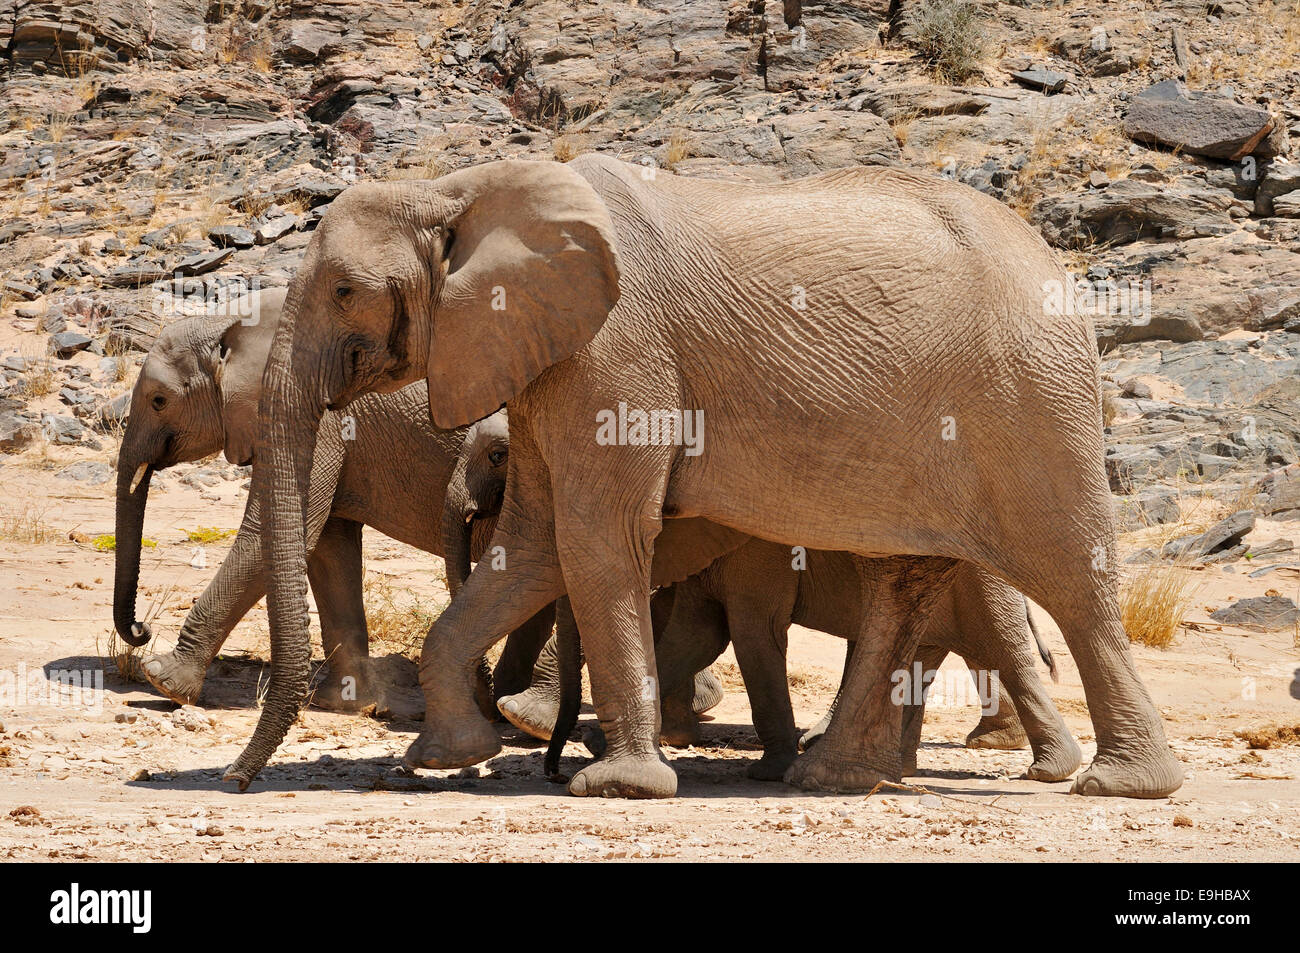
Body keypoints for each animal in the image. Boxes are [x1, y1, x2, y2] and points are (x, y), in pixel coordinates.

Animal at [112, 287, 553, 714]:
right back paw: (508, 707)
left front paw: (162, 680)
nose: (141, 630)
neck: (234, 319)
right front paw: (348, 703)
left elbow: (273, 536)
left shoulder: (316, 418)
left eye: (159, 400)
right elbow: (329, 549)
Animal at [228, 154, 1182, 801]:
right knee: (904, 581)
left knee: (1072, 577)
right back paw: (831, 778)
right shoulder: (557, 357)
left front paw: (617, 788)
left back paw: (1121, 784)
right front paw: (447, 756)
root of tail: (1058, 270)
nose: (239, 778)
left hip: (1030, 400)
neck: (460, 184)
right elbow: (536, 541)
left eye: (344, 290)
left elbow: (594, 536)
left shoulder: (617, 350)